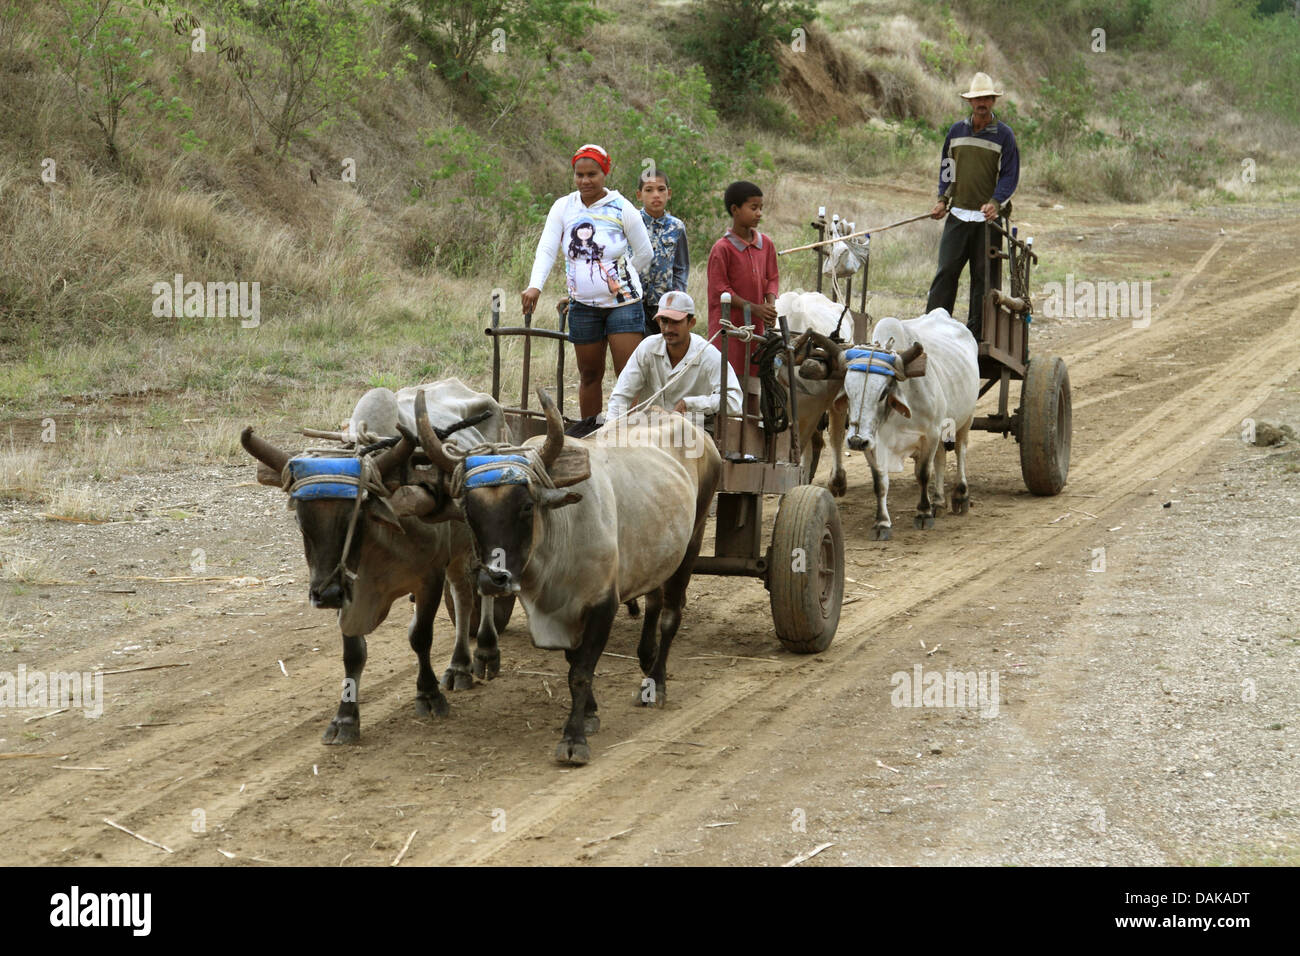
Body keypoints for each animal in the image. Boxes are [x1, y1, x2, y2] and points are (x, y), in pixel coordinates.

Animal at [239, 378, 514, 745]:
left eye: (356, 517)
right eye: (300, 519)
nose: (324, 595)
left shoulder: (429, 577)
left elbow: (419, 637)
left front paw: (428, 694)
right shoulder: (349, 588)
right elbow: (353, 652)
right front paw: (345, 717)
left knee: (483, 591)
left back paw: (484, 652)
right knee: (463, 595)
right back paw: (459, 667)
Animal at [408, 388, 721, 766]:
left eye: (527, 506)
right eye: (469, 509)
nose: (492, 580)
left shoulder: (603, 605)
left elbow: (581, 673)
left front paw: (574, 738)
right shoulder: (562, 614)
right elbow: (575, 662)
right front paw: (589, 713)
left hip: (694, 539)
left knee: (671, 615)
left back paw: (656, 683)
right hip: (658, 553)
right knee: (653, 599)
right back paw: (646, 657)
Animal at [798, 308, 979, 540]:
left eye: (883, 392)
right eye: (847, 390)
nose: (856, 441)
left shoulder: (929, 433)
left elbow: (923, 474)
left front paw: (923, 513)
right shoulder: (874, 442)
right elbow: (880, 482)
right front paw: (882, 523)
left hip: (966, 418)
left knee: (960, 451)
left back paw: (960, 494)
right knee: (940, 457)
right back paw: (938, 501)